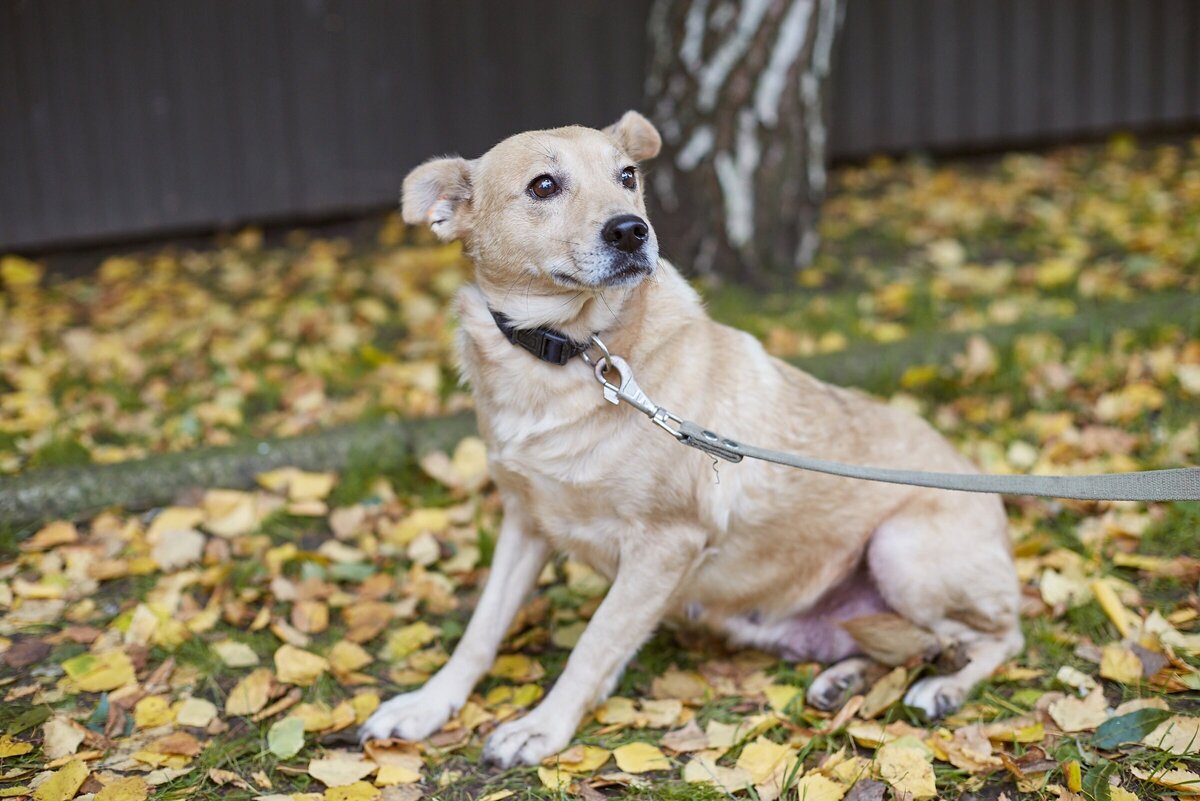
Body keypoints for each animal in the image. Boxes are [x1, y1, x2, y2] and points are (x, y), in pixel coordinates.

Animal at [357, 110, 1022, 762]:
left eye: (627, 175)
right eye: (543, 185)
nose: (632, 231)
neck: (571, 356)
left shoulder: (666, 544)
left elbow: (594, 642)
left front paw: (542, 728)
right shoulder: (526, 521)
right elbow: (481, 631)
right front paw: (427, 705)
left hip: (900, 550)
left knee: (999, 637)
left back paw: (944, 687)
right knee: (909, 643)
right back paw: (847, 679)